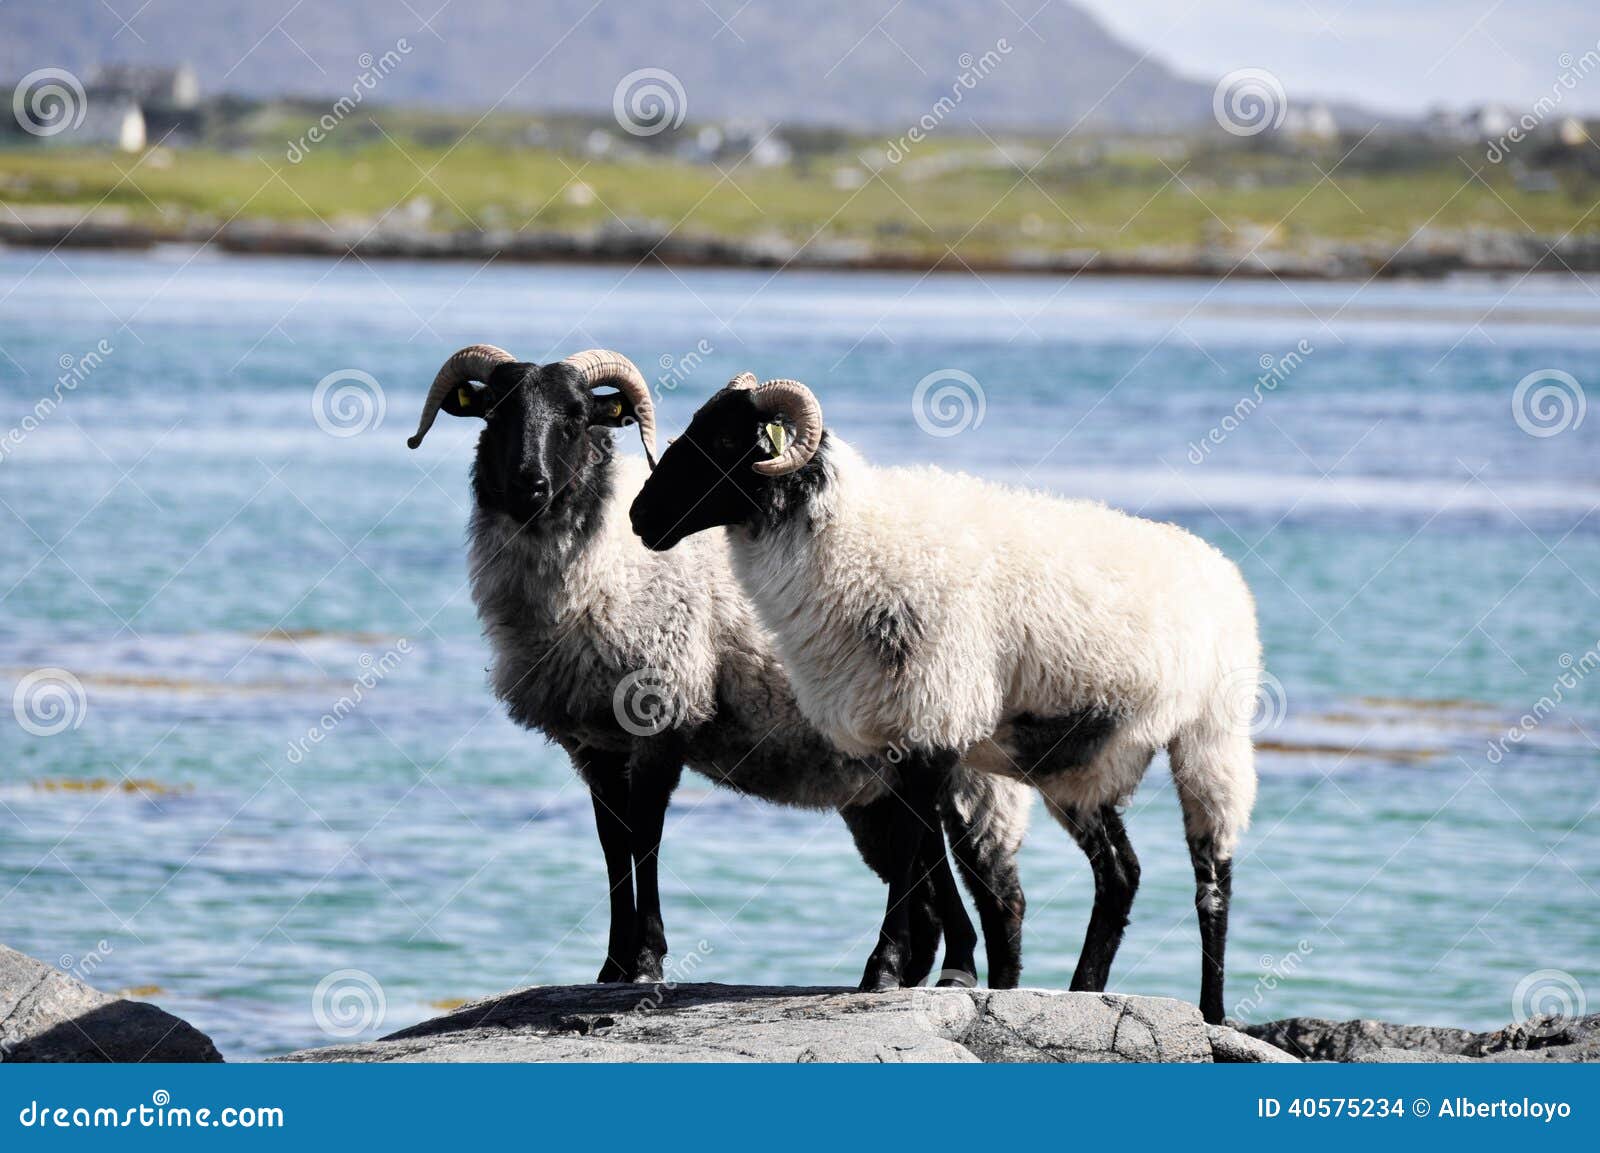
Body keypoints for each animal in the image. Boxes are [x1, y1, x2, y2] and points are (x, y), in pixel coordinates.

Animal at [407, 348, 1032, 989]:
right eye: (494, 413)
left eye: (578, 418)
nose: (529, 487)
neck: (603, 570)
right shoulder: (593, 743)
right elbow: (611, 843)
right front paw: (611, 966)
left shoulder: (662, 715)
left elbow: (645, 836)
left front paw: (647, 960)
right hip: (878, 790)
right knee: (929, 893)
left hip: (977, 784)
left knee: (1001, 899)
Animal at [628, 375, 1260, 1023]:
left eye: (727, 440)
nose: (639, 516)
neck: (850, 543)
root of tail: (1219, 565)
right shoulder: (904, 732)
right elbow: (927, 851)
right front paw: (951, 970)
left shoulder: (933, 712)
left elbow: (913, 849)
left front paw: (881, 971)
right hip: (1074, 761)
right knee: (1120, 873)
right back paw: (1085, 991)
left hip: (1212, 738)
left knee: (1213, 876)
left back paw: (1212, 1012)